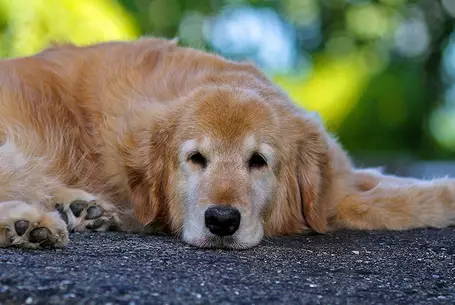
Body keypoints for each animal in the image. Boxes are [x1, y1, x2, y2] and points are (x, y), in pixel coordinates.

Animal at [0, 36, 454, 248]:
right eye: (195, 158)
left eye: (259, 161)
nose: (221, 221)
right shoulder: (339, 202)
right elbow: (405, 201)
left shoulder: (340, 176)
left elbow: (392, 181)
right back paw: (28, 224)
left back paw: (79, 209)